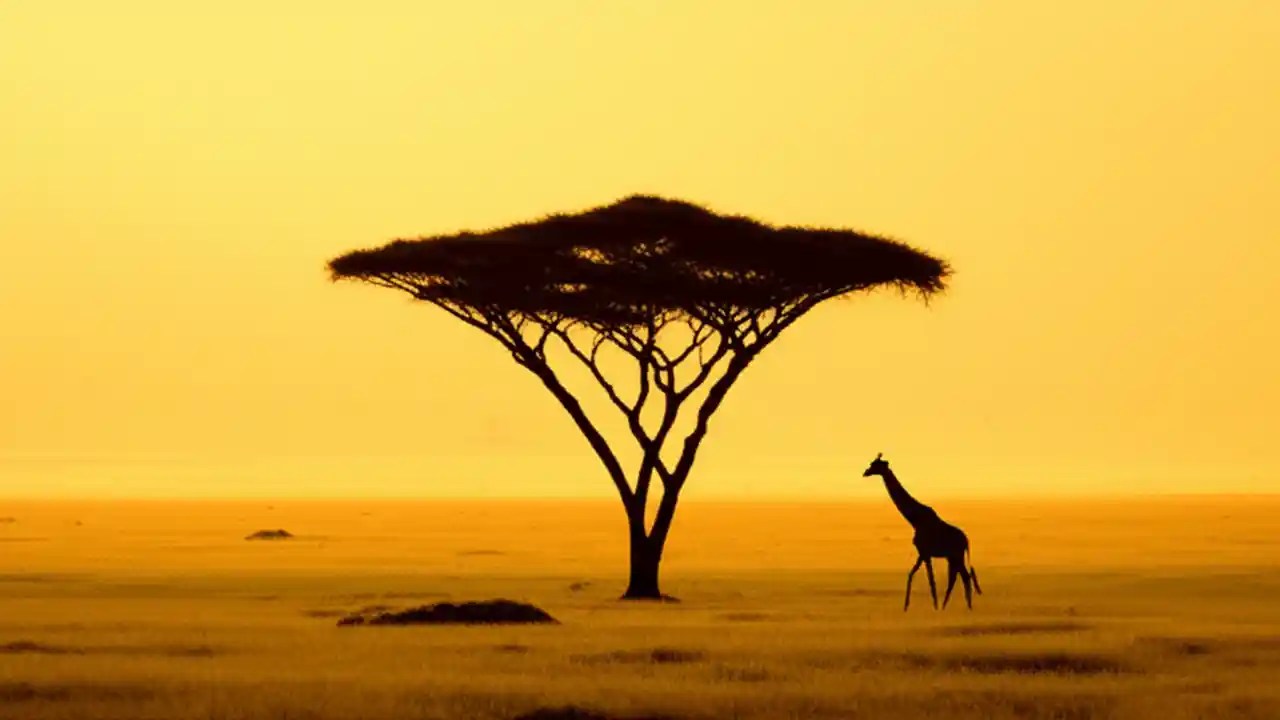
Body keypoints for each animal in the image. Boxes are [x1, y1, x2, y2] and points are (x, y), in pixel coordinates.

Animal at [862, 453, 982, 611]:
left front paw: (934, 607)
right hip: (952, 557)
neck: (915, 520)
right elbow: (911, 574)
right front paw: (906, 606)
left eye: (875, 465)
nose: (865, 472)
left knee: (964, 576)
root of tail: (966, 540)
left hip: (956, 555)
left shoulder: (925, 553)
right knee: (957, 577)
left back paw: (965, 607)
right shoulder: (921, 553)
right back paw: (948, 606)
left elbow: (931, 580)